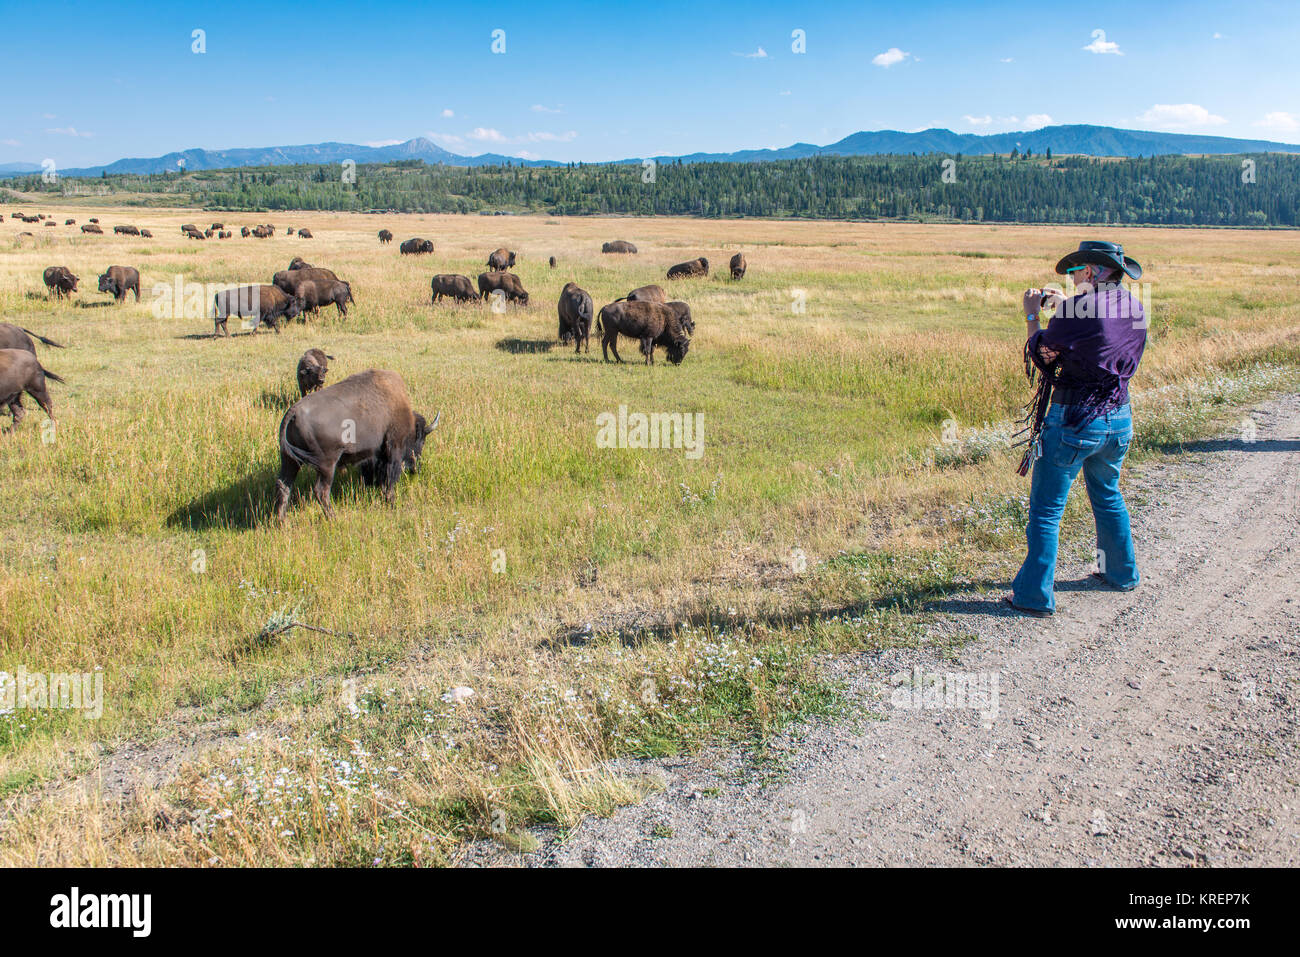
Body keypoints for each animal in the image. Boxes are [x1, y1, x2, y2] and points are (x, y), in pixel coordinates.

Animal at [274, 369, 438, 520]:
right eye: (421, 441)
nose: (416, 468)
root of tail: (293, 412)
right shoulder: (393, 449)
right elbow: (389, 478)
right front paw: (391, 502)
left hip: (289, 460)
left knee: (284, 486)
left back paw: (282, 521)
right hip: (327, 465)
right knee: (321, 491)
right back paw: (333, 518)